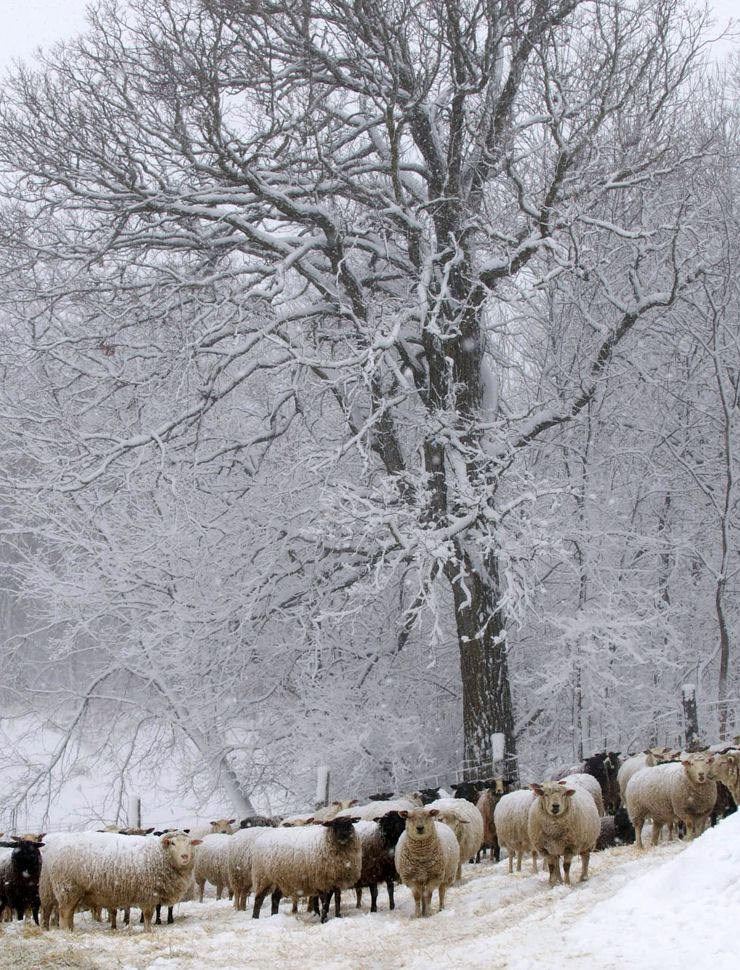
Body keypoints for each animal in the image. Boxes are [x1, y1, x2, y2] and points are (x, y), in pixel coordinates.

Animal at [40, 830, 201, 931]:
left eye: (189, 843)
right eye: (173, 843)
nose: (185, 856)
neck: (158, 854)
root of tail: (55, 847)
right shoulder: (148, 893)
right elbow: (148, 915)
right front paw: (148, 931)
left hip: (60, 889)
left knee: (61, 911)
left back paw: (66, 929)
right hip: (67, 887)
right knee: (63, 912)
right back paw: (65, 931)